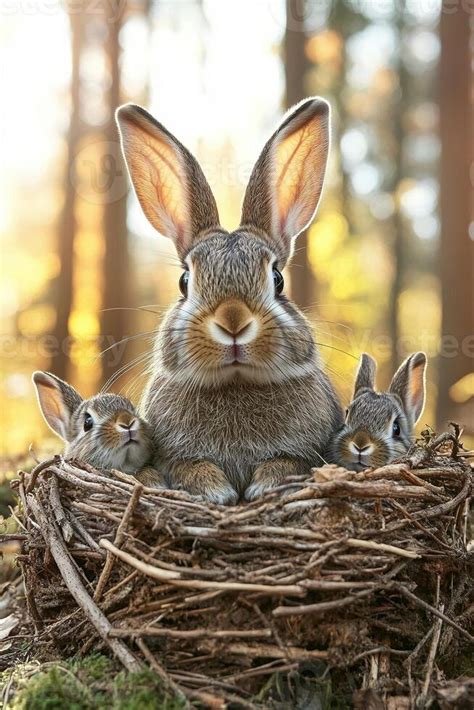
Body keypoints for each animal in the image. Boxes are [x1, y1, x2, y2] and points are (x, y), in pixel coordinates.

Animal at [116, 97, 344, 504]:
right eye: (184, 282)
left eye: (278, 280)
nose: (233, 321)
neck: (236, 381)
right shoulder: (172, 457)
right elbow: (187, 466)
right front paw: (214, 489)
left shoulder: (310, 453)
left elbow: (289, 463)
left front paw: (262, 485)